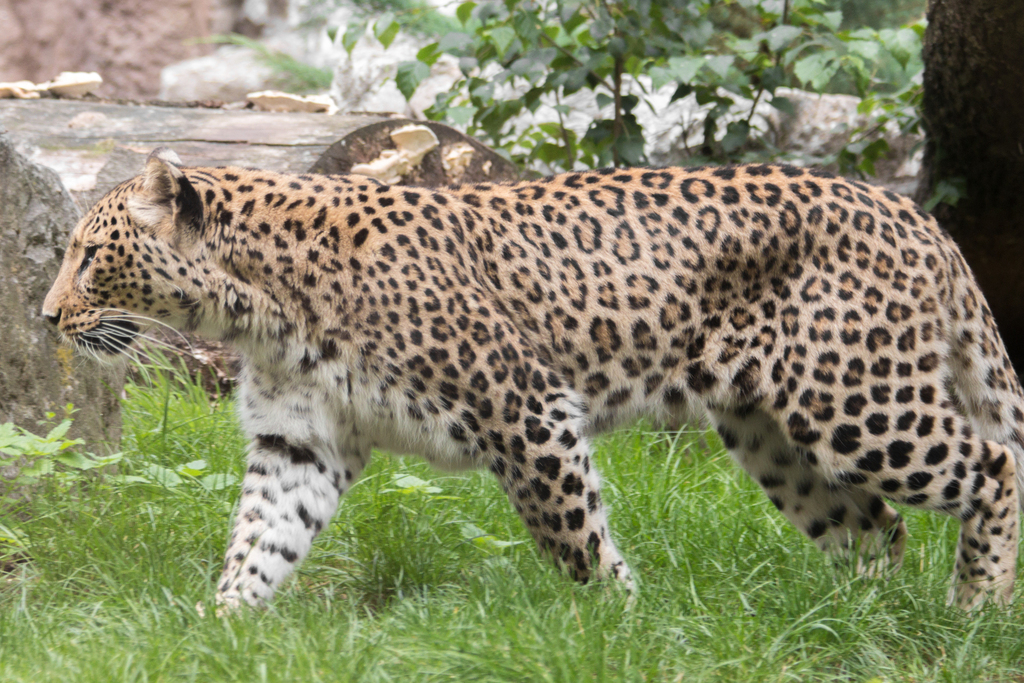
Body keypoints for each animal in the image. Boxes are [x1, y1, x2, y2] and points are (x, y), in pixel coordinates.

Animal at [42, 147, 1023, 610]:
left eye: (90, 254)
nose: (48, 317)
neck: (257, 308)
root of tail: (915, 215)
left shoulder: (524, 406)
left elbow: (573, 536)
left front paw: (625, 623)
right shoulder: (301, 442)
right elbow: (257, 543)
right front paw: (220, 628)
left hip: (856, 397)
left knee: (993, 465)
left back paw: (974, 608)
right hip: (772, 433)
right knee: (876, 530)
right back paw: (855, 623)